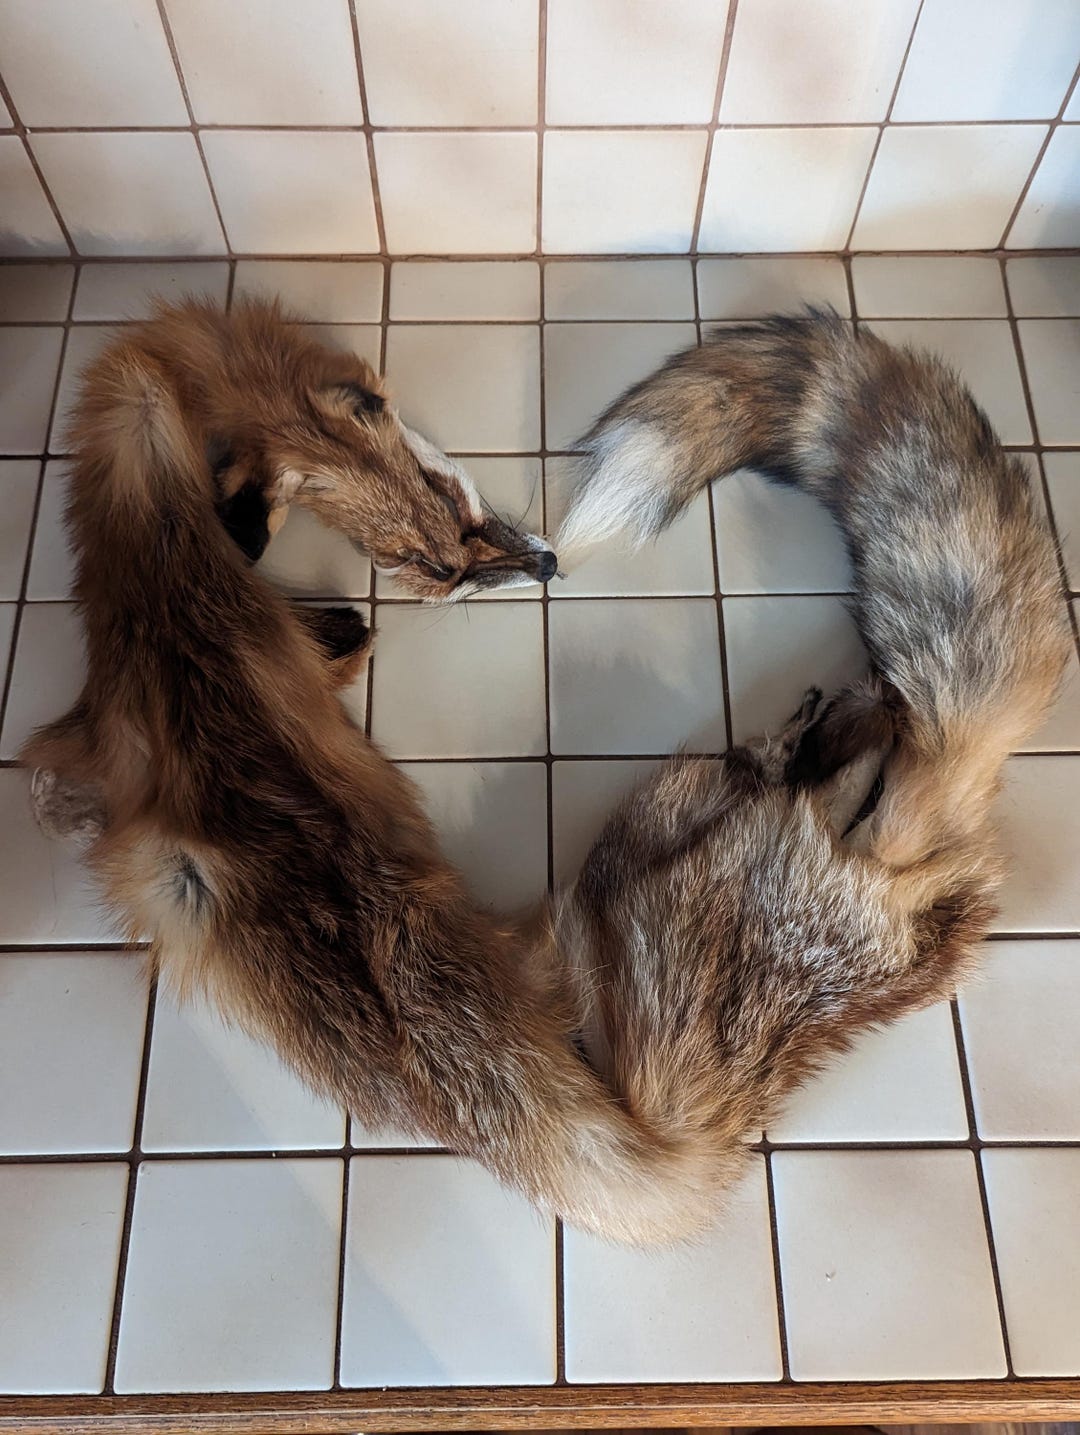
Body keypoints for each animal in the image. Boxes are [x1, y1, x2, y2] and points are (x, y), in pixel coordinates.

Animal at [23, 305, 1070, 1246]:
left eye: (457, 505)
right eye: (430, 565)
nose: (549, 564)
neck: (155, 578)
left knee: (857, 742)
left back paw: (823, 727)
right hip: (663, 829)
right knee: (841, 749)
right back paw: (816, 731)